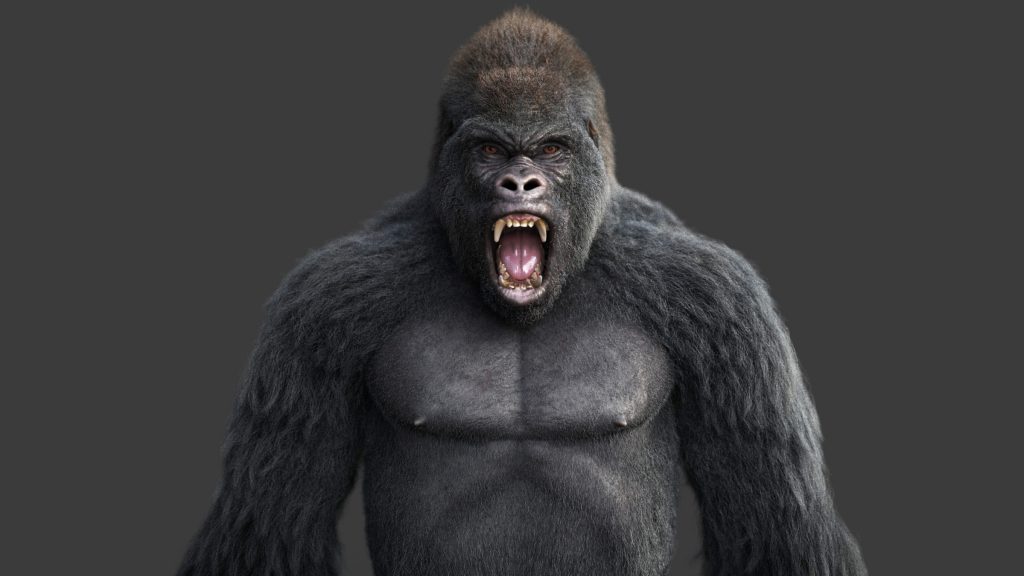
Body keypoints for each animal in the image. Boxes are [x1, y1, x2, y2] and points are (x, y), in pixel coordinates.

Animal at [177, 8, 867, 575]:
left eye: (552, 148)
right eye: (489, 149)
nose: (520, 183)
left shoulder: (720, 301)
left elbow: (775, 527)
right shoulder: (321, 303)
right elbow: (271, 526)